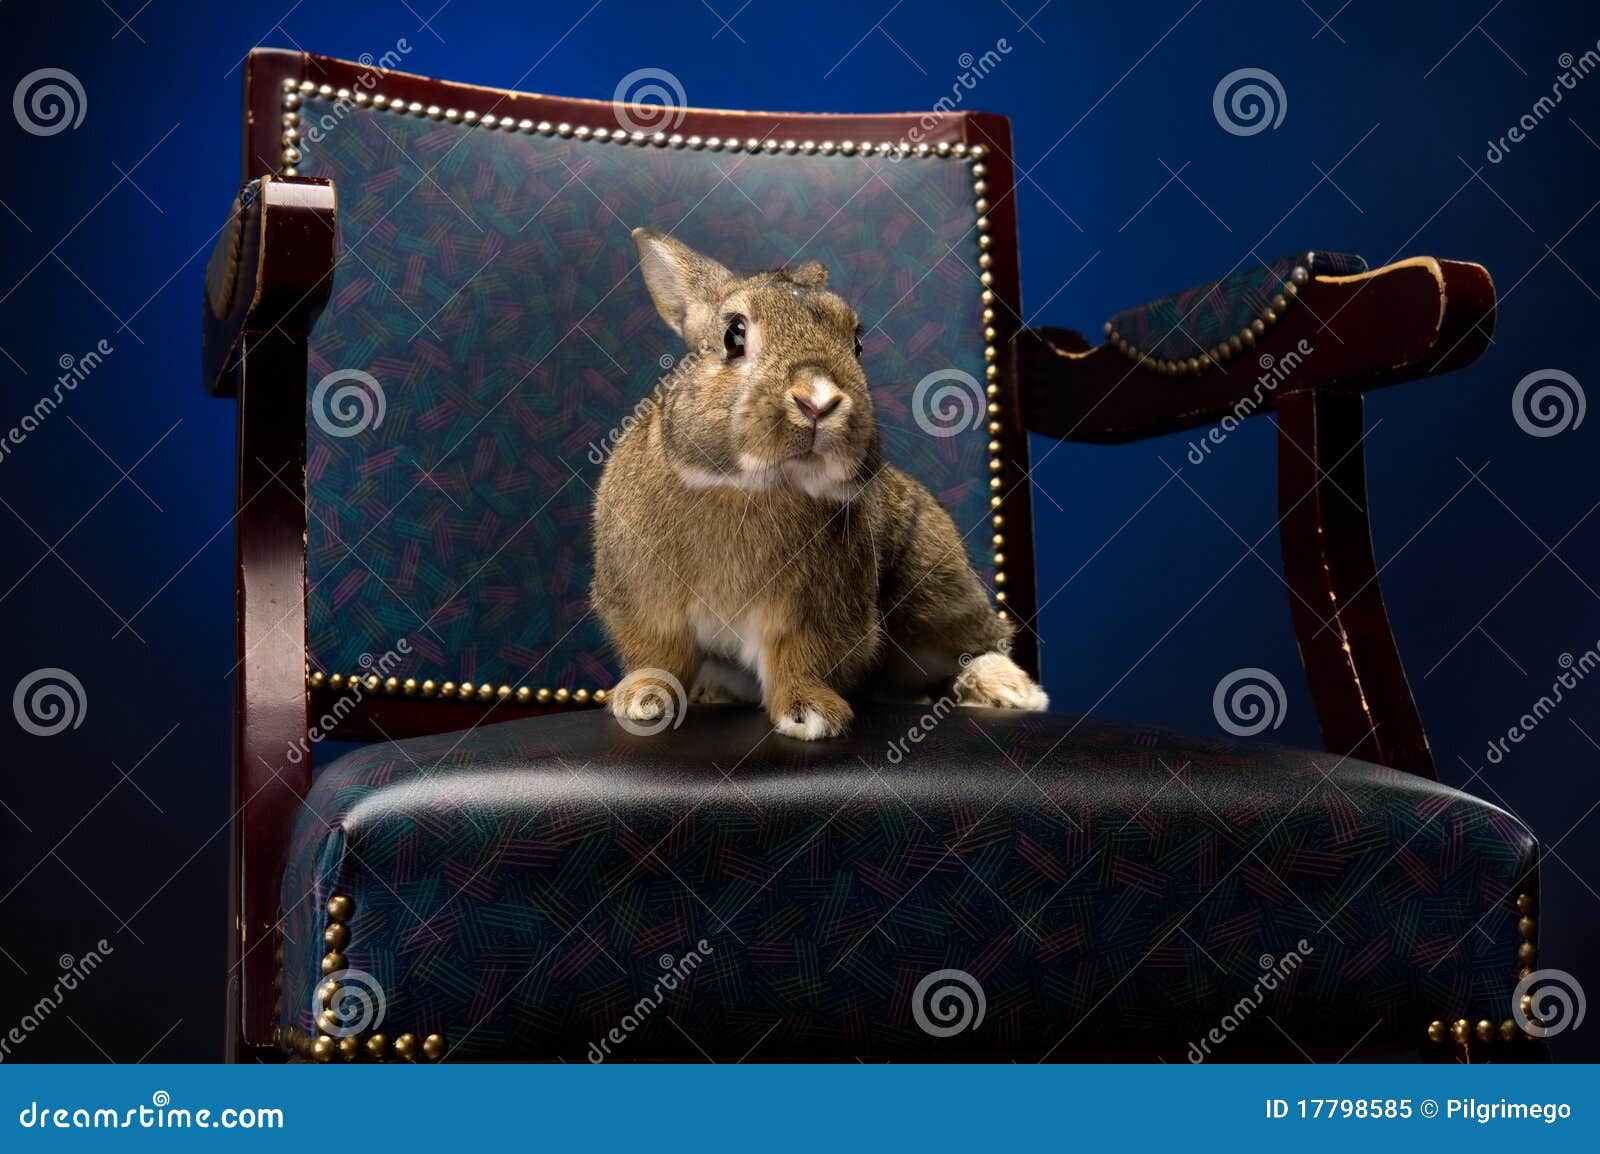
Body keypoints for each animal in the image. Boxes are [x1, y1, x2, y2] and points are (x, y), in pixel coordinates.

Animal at [590, 227, 1047, 741]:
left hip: (938, 589)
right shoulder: (648, 604)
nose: (819, 400)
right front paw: (642, 701)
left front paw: (810, 716)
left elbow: (801, 659)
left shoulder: (815, 615)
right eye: (733, 335)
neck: (750, 486)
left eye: (857, 344)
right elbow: (658, 655)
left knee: (975, 646)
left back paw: (1011, 690)